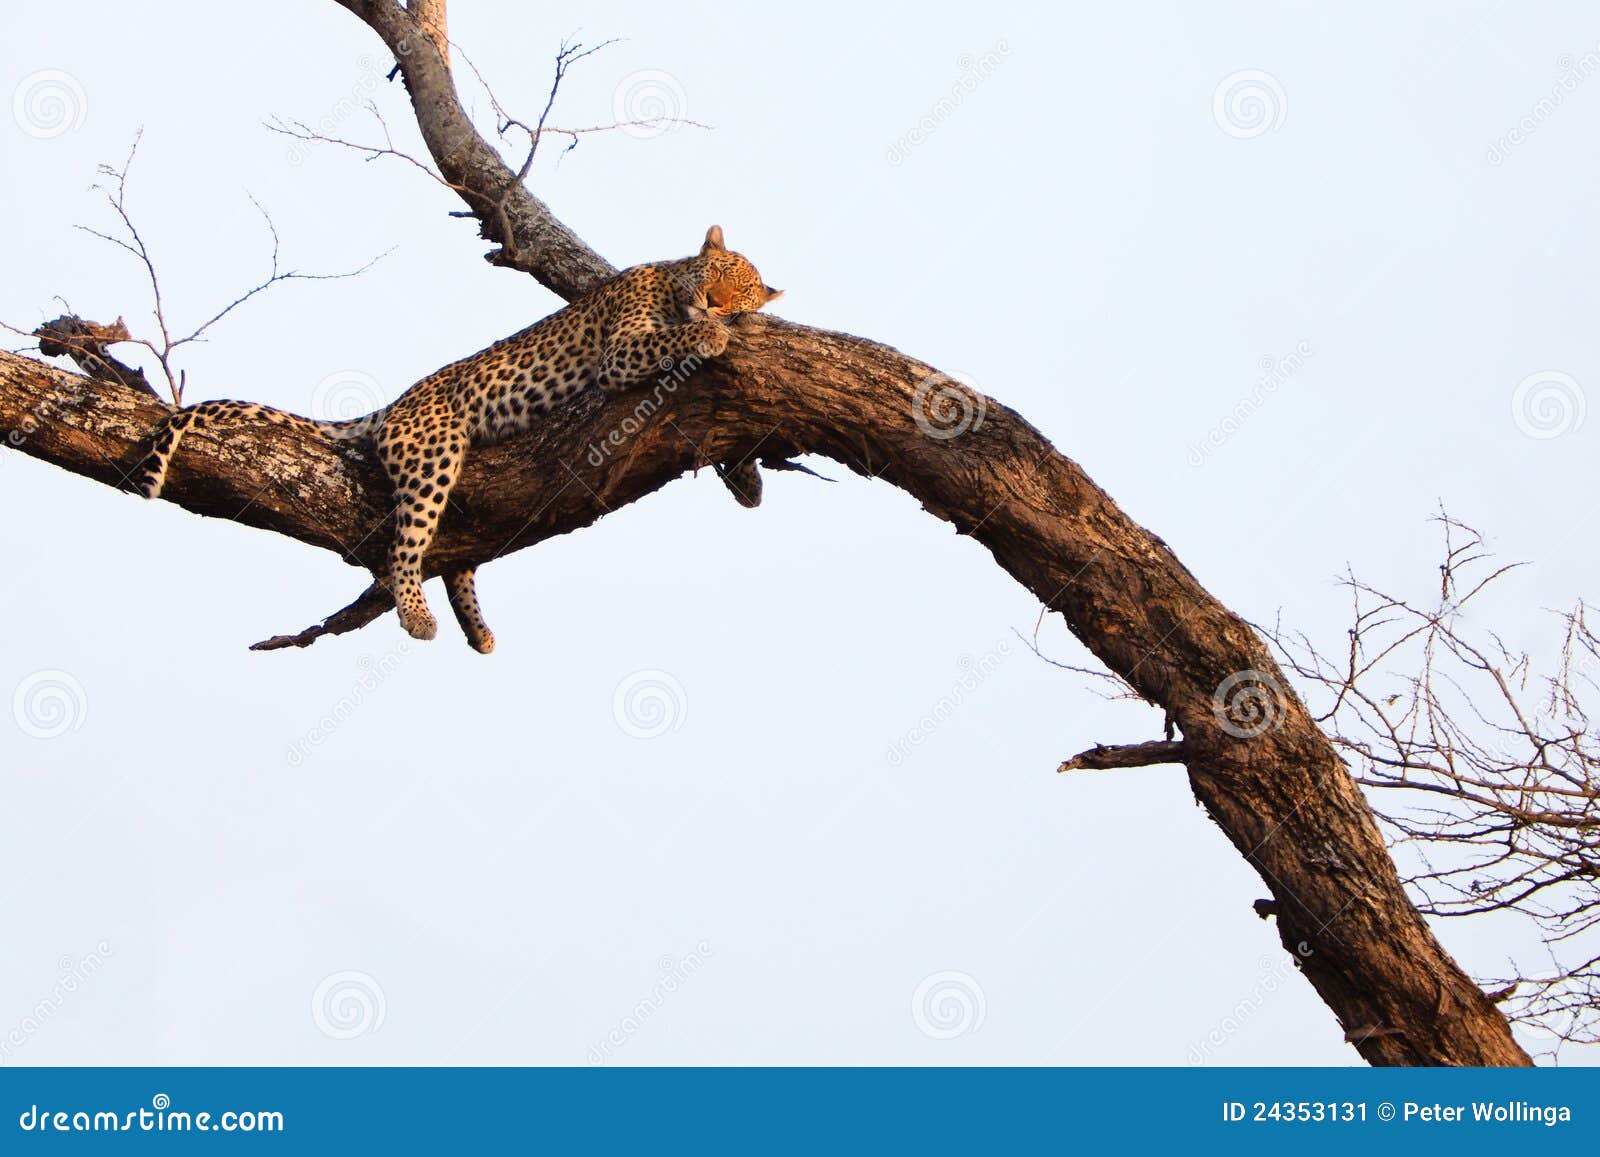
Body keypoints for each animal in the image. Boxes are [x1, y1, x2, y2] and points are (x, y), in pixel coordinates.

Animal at [132, 225, 782, 653]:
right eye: (718, 275)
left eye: (744, 292)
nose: (717, 304)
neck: (671, 277)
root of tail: (394, 405)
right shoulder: (621, 352)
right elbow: (669, 339)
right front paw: (711, 333)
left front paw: (748, 481)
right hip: (434, 453)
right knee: (404, 550)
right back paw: (419, 618)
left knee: (458, 554)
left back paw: (479, 631)